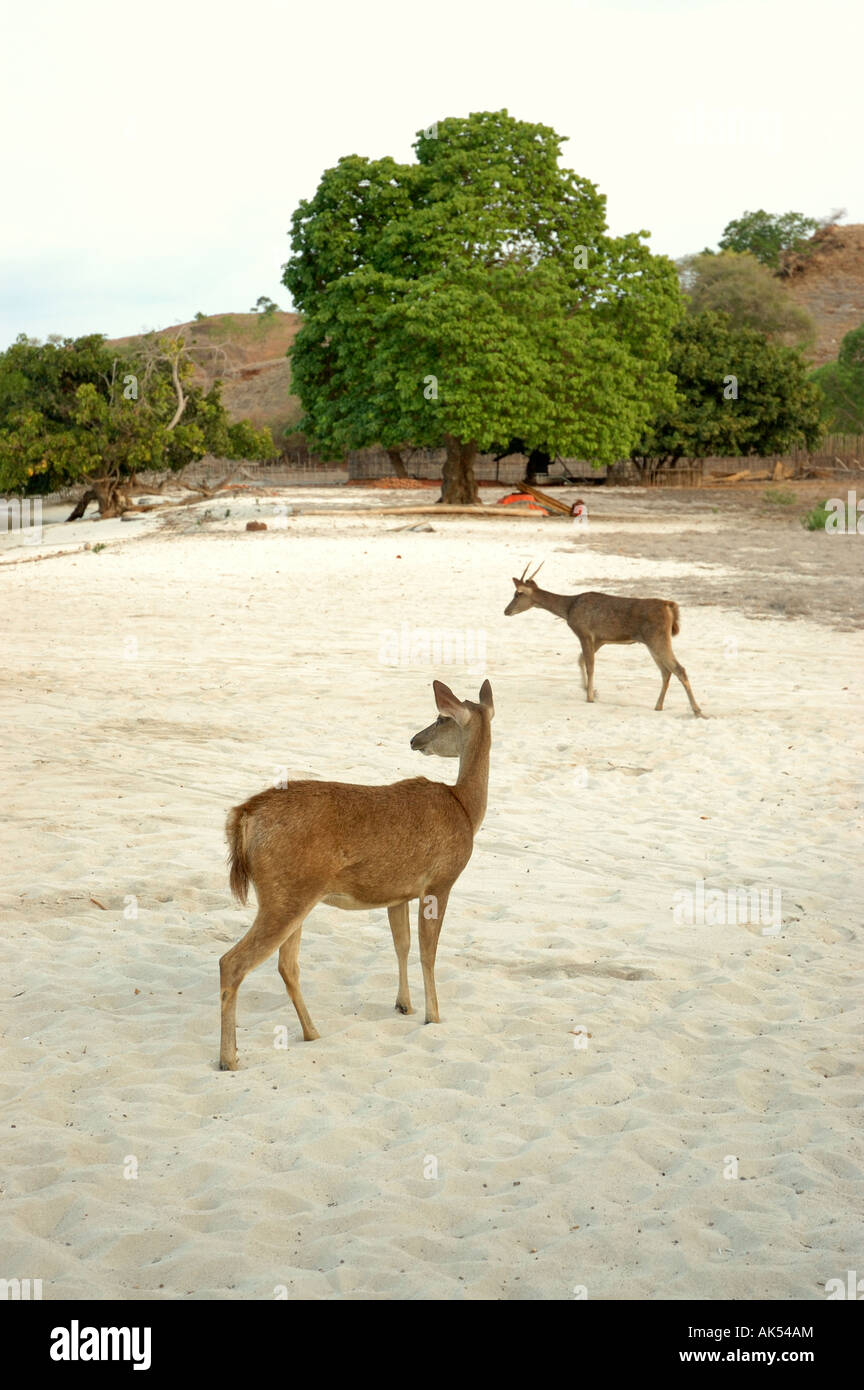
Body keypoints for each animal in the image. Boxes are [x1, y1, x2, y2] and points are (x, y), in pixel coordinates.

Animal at [219, 679, 494, 1070]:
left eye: (441, 719)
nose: (415, 739)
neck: (466, 809)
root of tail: (244, 815)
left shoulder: (398, 893)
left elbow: (401, 944)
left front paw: (404, 1005)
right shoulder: (440, 881)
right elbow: (428, 951)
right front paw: (434, 1016)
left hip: (291, 894)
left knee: (287, 965)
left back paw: (312, 1032)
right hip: (285, 894)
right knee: (233, 963)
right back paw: (230, 1058)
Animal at [505, 563, 703, 717]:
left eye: (518, 593)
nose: (506, 611)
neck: (568, 610)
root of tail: (669, 606)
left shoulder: (584, 632)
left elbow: (590, 665)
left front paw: (590, 696)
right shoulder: (600, 638)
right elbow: (581, 660)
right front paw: (591, 690)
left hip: (657, 638)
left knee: (679, 669)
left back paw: (697, 710)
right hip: (652, 642)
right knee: (666, 672)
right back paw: (659, 706)